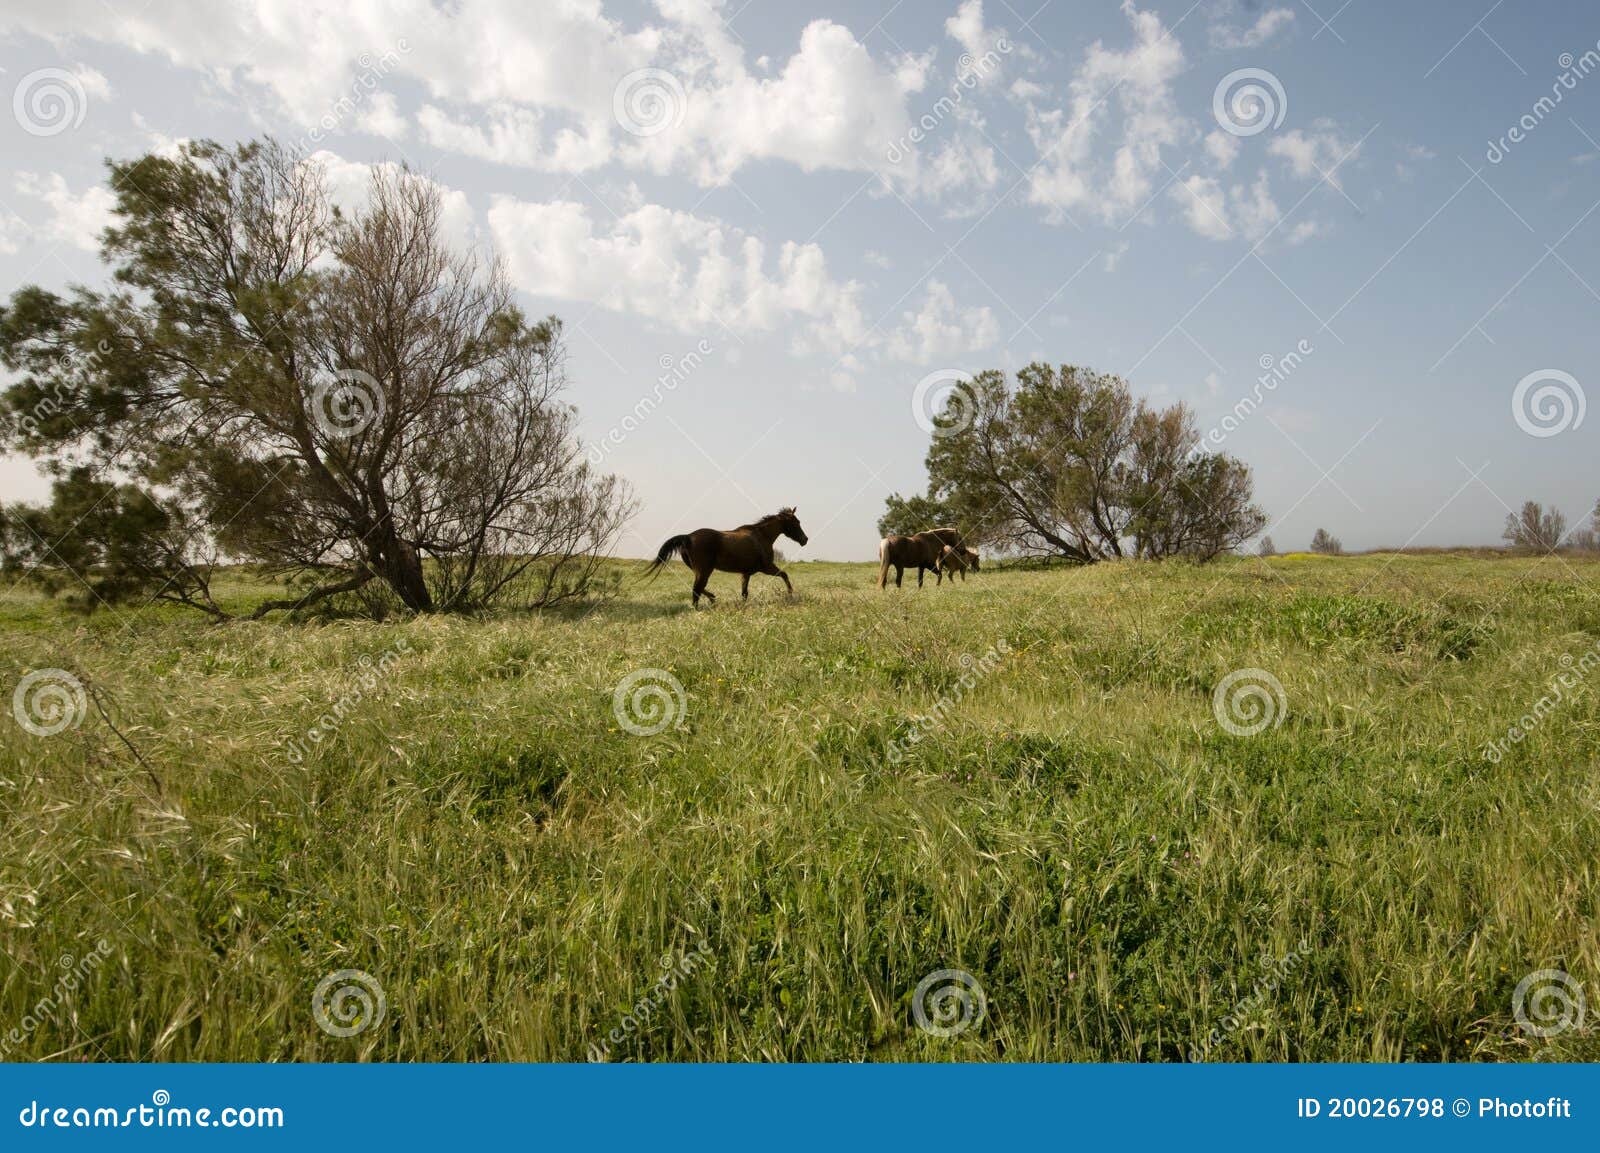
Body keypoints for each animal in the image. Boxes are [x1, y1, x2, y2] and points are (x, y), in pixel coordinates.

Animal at [647, 507, 808, 606]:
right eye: (796, 522)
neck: (761, 536)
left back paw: (712, 598)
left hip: (699, 570)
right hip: (705, 570)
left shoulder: (746, 573)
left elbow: (744, 593)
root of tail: (688, 537)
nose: (805, 539)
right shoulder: (767, 567)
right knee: (696, 589)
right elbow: (784, 575)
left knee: (699, 587)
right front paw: (790, 595)